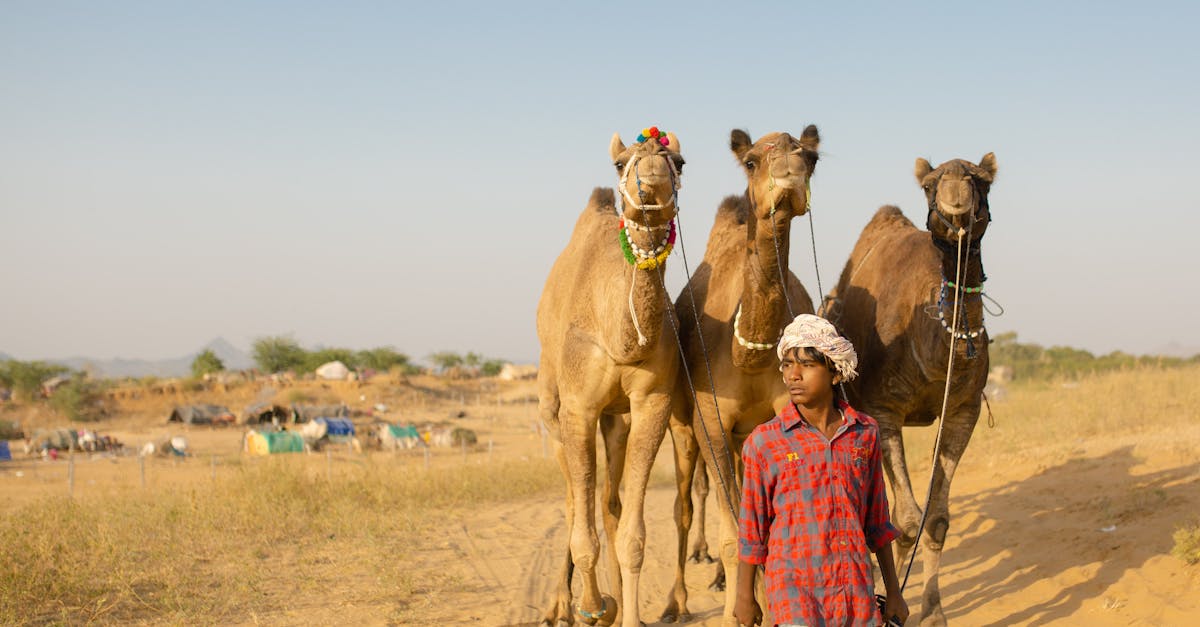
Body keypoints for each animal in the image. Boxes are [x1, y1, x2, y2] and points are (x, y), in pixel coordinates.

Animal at [537, 127, 686, 624]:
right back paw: (567, 606)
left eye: (679, 160)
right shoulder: (578, 408)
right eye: (621, 163)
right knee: (572, 502)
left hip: (615, 420)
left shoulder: (652, 402)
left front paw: (625, 612)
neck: (623, 338)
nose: (652, 162)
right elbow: (583, 536)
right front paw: (591, 607)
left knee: (609, 503)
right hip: (552, 412)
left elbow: (632, 536)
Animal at [662, 127, 820, 624]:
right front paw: (738, 611)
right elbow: (733, 539)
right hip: (683, 427)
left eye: (811, 157)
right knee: (684, 505)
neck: (747, 353)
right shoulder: (710, 421)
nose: (789, 177)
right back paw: (677, 601)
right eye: (751, 161)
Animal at [820, 152, 998, 624]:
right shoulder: (884, 411)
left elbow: (933, 519)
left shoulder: (963, 410)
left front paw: (931, 611)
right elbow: (904, 520)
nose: (956, 196)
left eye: (982, 180)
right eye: (930, 185)